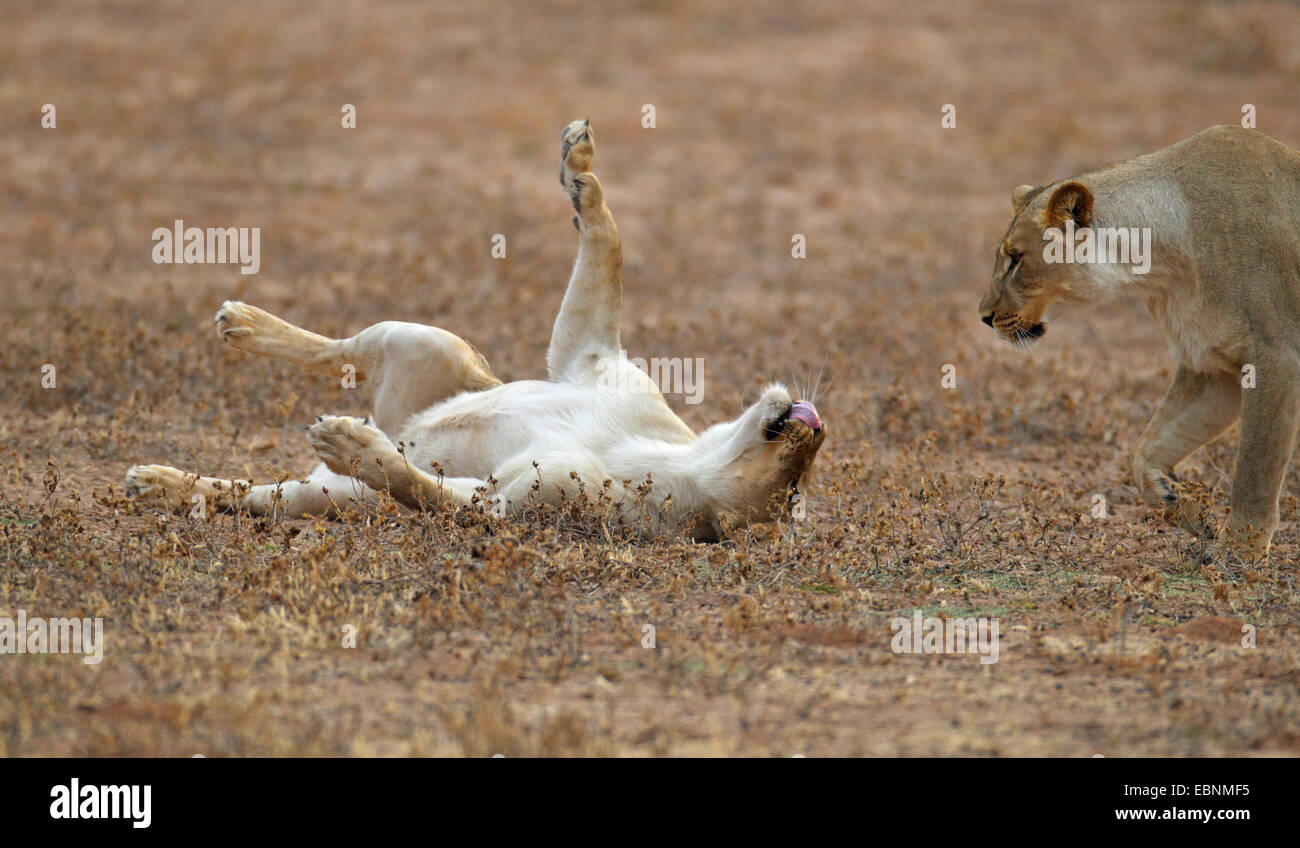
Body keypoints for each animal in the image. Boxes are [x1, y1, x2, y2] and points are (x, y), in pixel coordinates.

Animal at [125, 119, 826, 541]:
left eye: (794, 492)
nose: (817, 430)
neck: (677, 457)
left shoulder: (514, 503)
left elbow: (420, 485)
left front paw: (354, 445)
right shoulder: (591, 355)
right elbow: (607, 246)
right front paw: (580, 167)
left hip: (321, 496)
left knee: (252, 491)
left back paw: (167, 478)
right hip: (425, 338)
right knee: (339, 351)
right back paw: (238, 326)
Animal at [979, 125, 1300, 567]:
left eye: (1014, 259)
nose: (983, 316)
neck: (1165, 267)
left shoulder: (1275, 358)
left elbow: (1256, 468)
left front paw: (1237, 552)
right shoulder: (1212, 368)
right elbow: (1146, 448)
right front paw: (1178, 503)